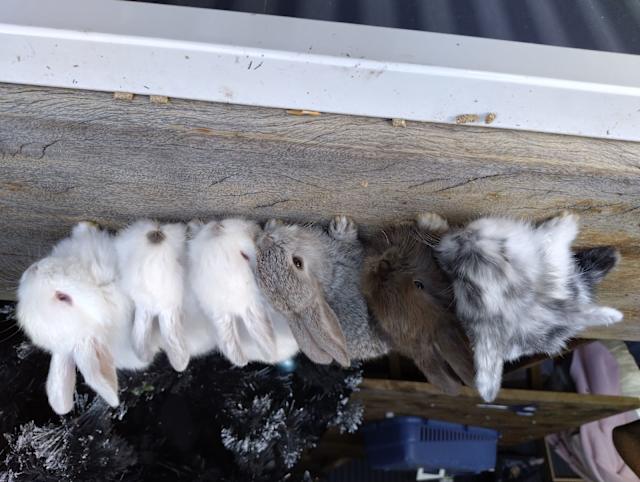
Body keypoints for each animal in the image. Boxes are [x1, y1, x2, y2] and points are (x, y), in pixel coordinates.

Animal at [433, 211, 623, 402]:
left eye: (504, 253)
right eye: (461, 278)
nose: (463, 235)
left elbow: (551, 238)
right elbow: (552, 236)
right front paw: (569, 220)